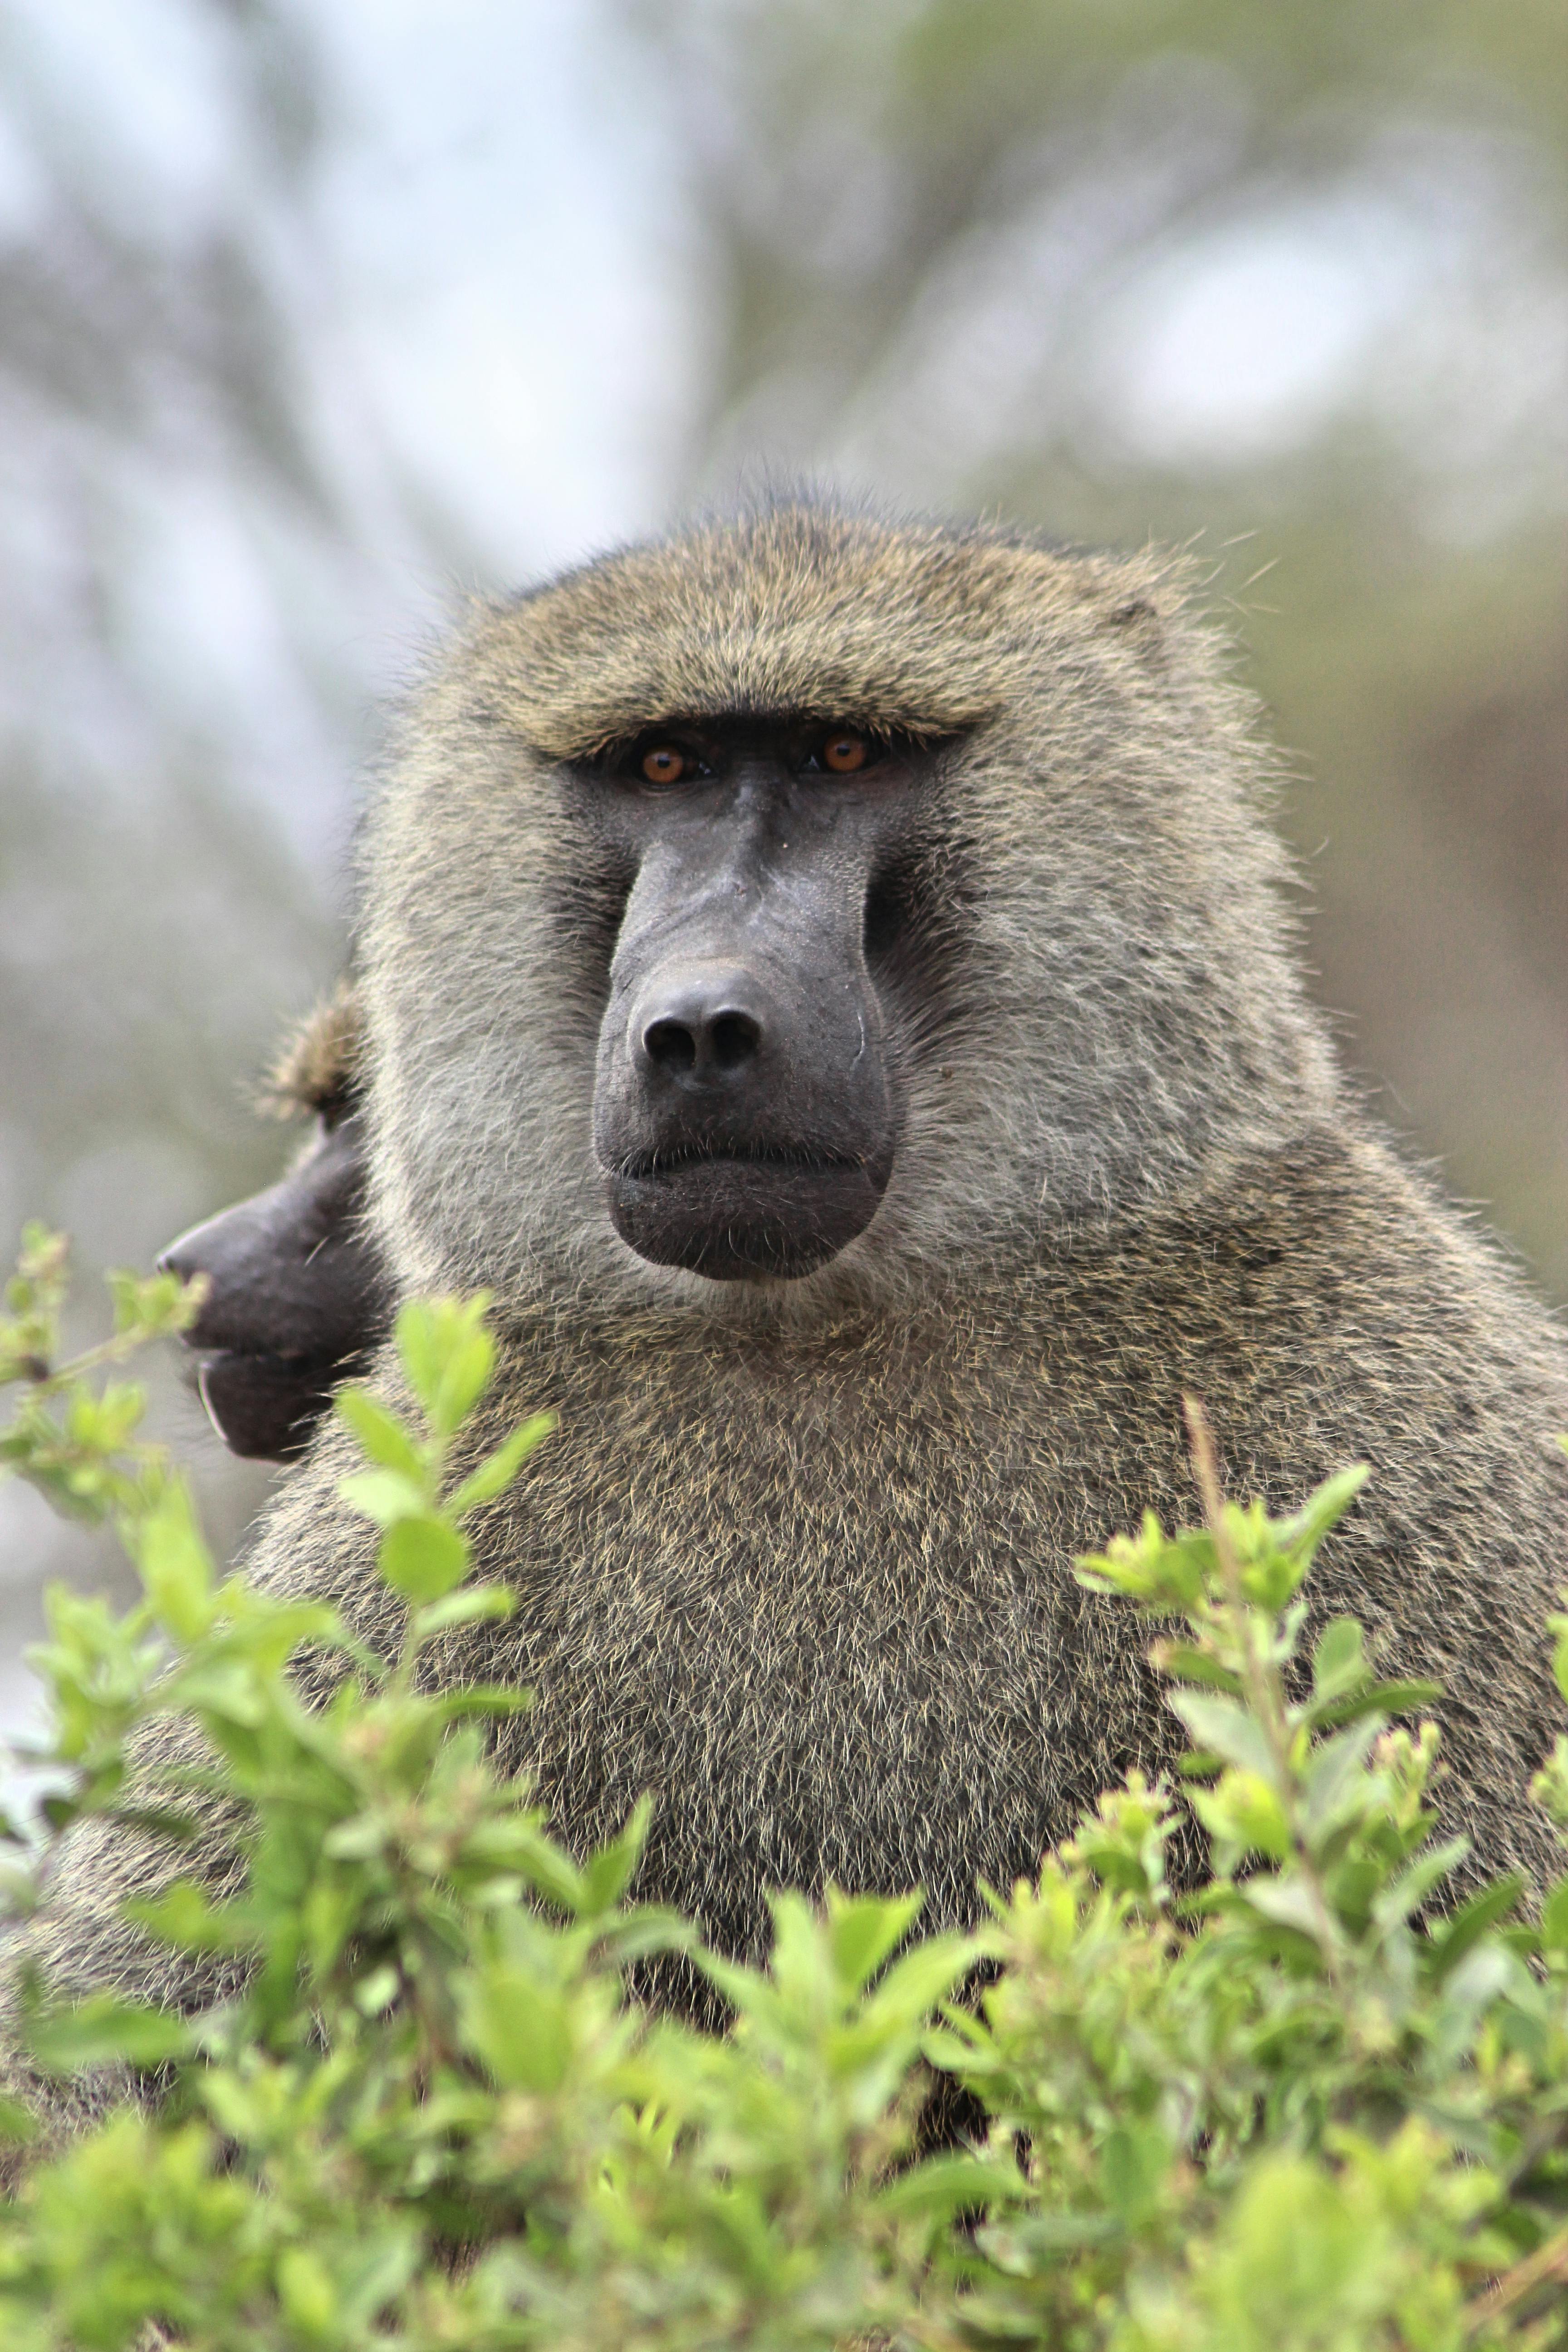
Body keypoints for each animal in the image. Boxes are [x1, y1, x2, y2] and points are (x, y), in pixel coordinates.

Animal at [8, 497, 1568, 2138]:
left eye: (843, 757)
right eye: (663, 768)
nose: (702, 1027)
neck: (820, 1327)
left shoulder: (1399, 1422)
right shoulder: (392, 1533)